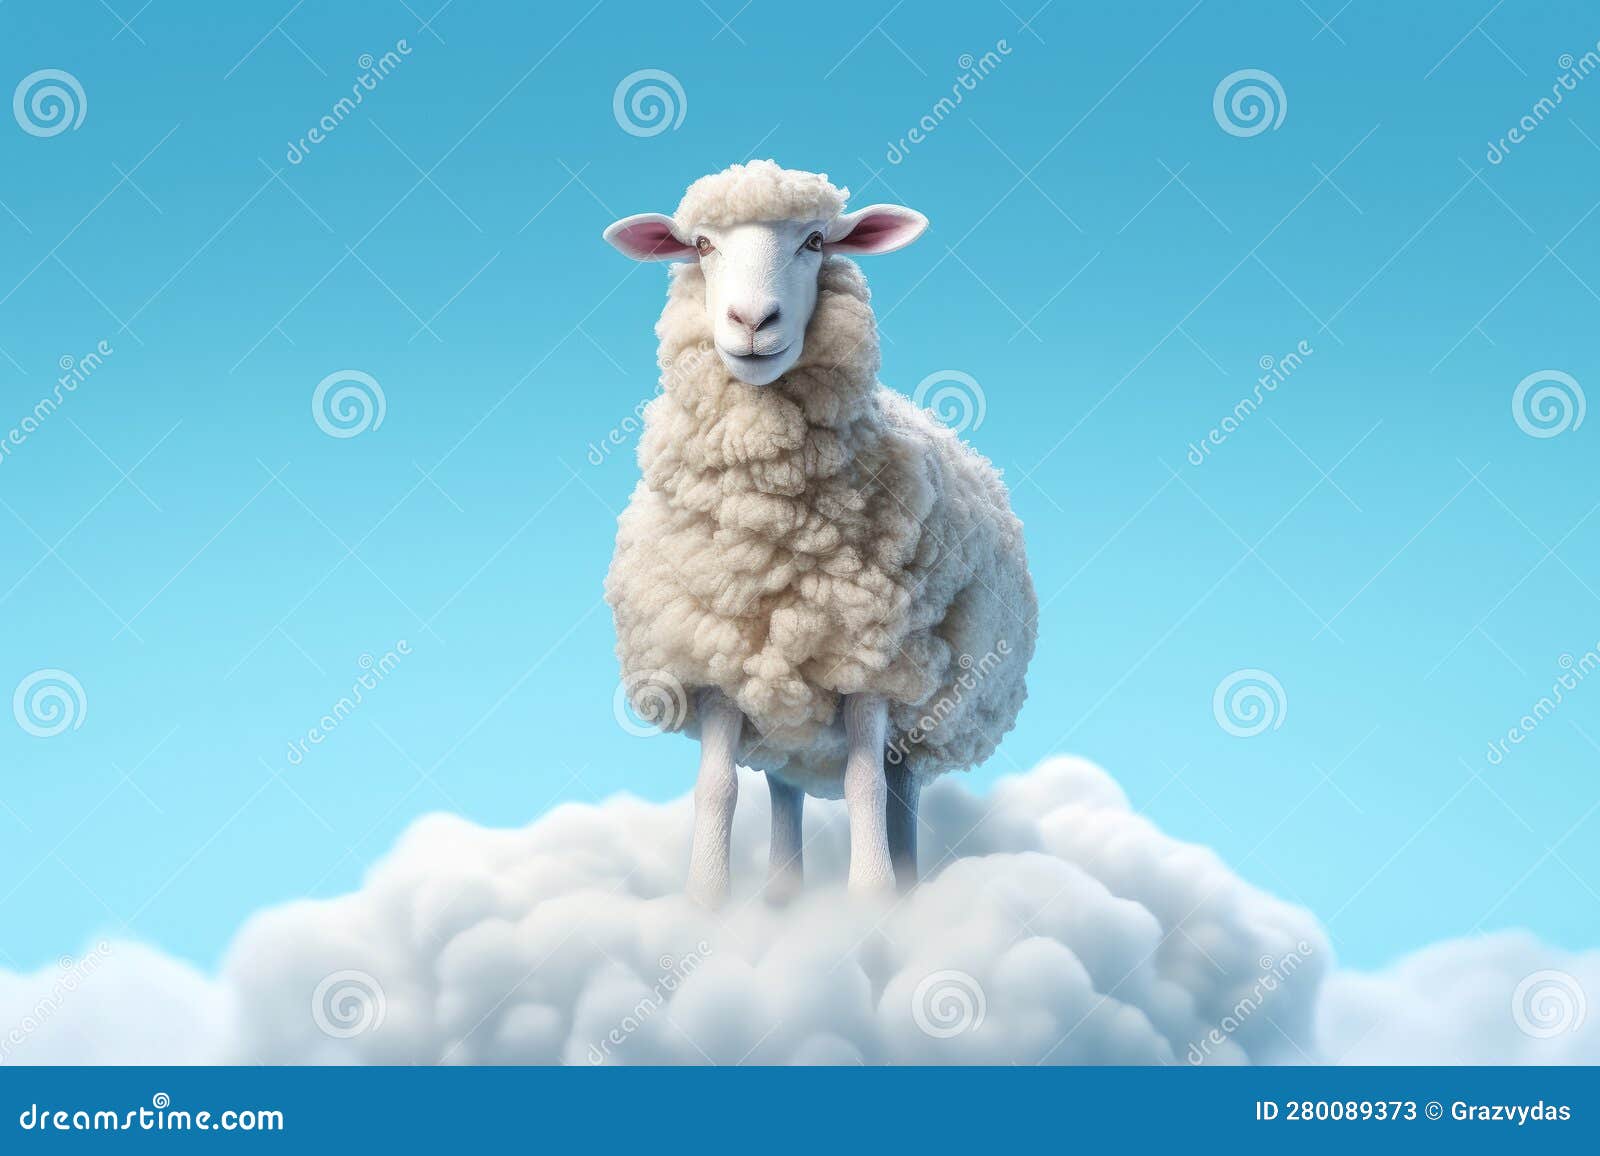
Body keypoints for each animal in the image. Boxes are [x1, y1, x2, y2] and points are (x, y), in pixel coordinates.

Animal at [602, 160, 1037, 904]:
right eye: (702, 245)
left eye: (814, 241)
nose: (752, 321)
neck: (768, 525)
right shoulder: (719, 663)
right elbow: (715, 790)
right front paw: (706, 903)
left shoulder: (870, 661)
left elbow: (865, 788)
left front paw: (872, 902)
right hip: (786, 725)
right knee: (783, 791)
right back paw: (784, 902)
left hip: (919, 713)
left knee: (897, 792)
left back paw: (906, 889)